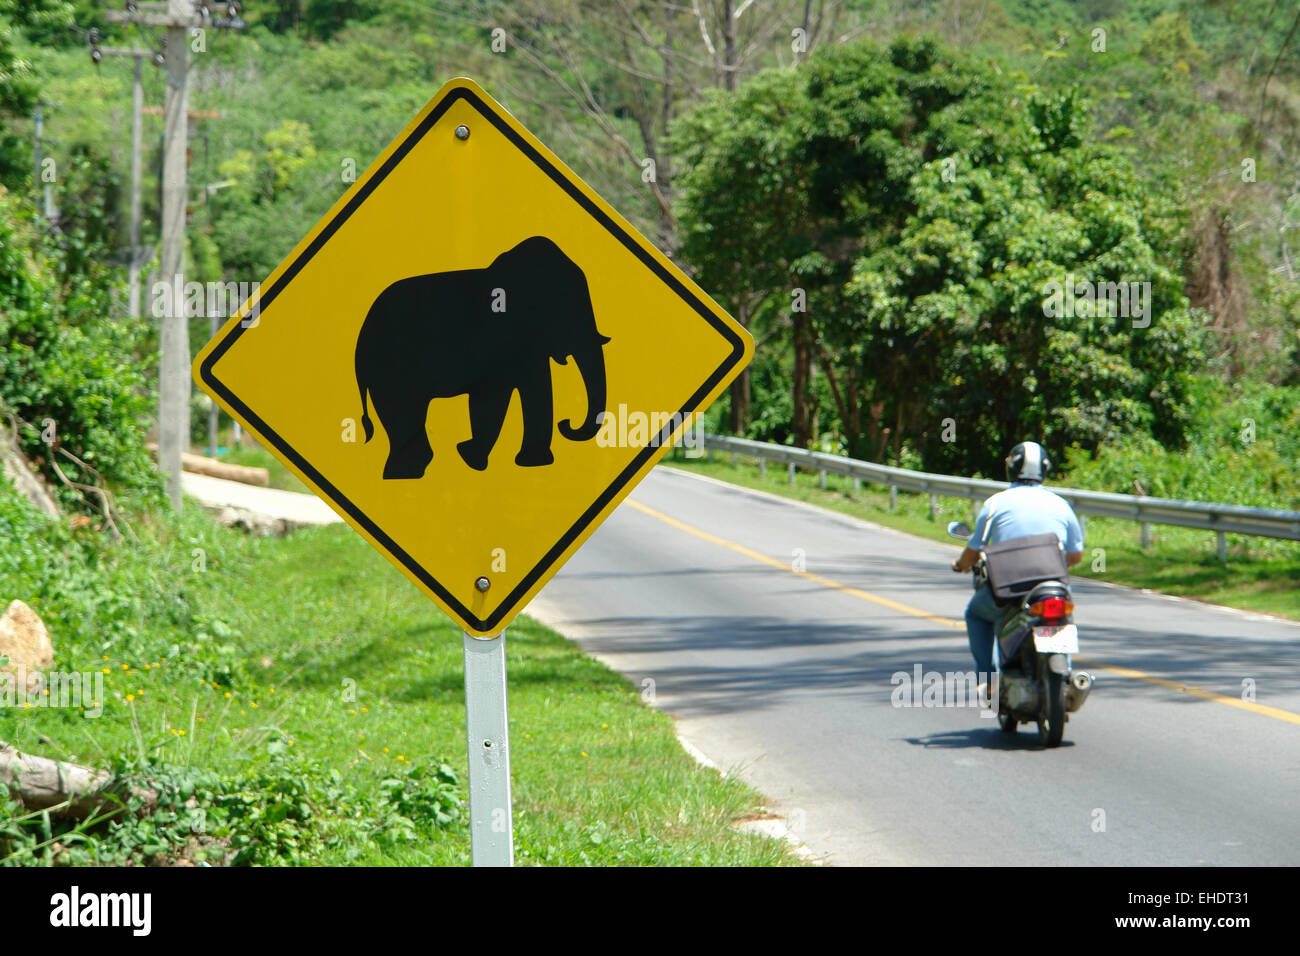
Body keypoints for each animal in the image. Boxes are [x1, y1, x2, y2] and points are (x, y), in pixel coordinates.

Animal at [355, 236, 610, 479]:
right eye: (562, 303)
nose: (566, 424)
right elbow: (493, 396)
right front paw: (471, 457)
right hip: (390, 365)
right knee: (403, 412)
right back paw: (404, 473)